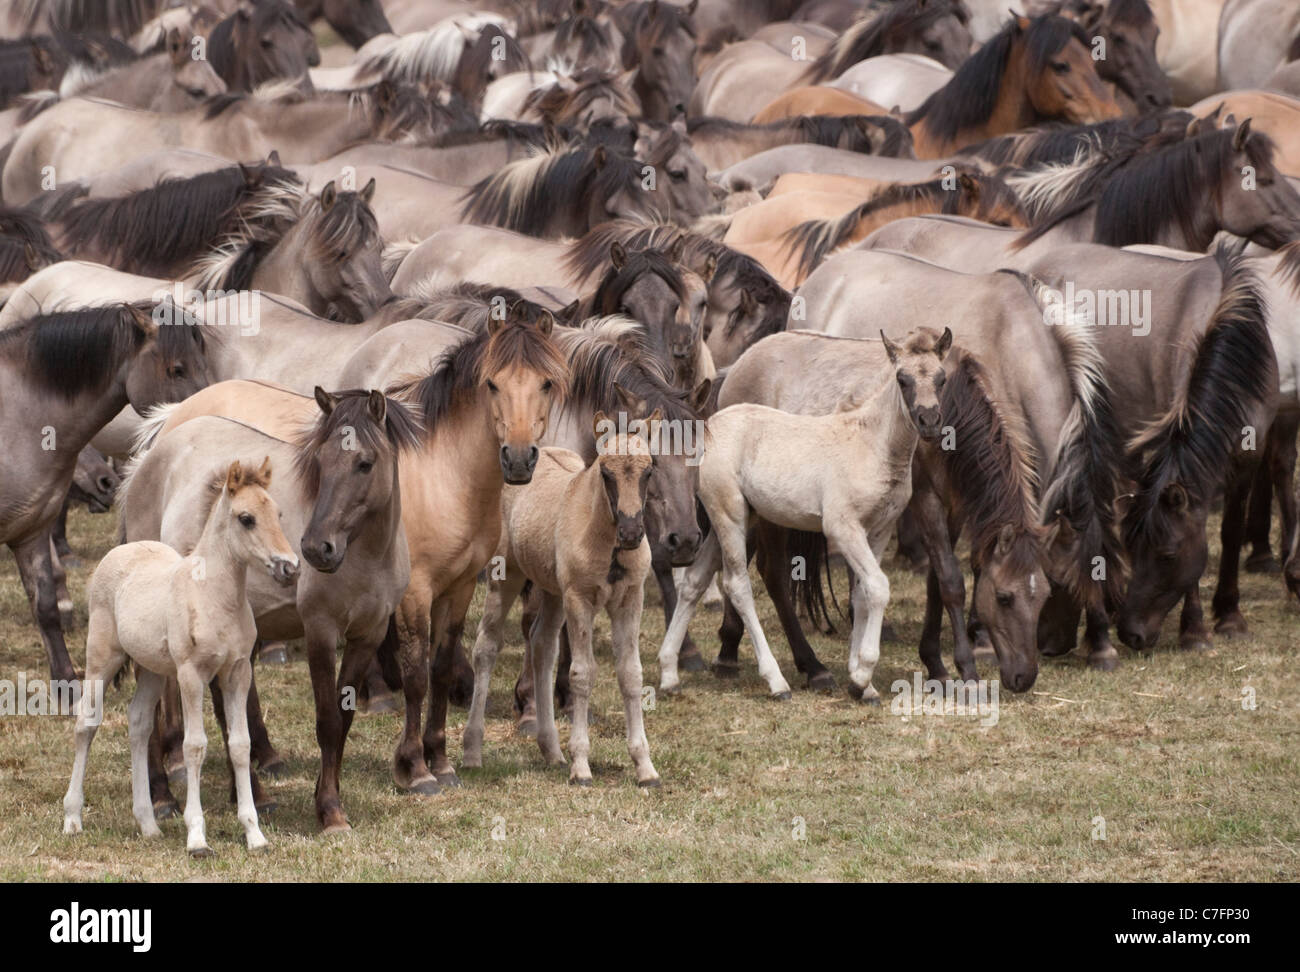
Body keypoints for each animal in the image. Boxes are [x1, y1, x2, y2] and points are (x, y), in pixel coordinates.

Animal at [63, 457, 299, 857]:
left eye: (278, 513)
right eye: (246, 518)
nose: (290, 567)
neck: (213, 596)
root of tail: (121, 550)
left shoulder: (237, 673)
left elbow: (240, 745)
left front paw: (254, 834)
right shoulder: (191, 674)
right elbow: (194, 746)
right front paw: (197, 838)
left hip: (152, 670)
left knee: (139, 723)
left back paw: (148, 823)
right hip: (102, 657)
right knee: (86, 724)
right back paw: (72, 818)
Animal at [463, 411, 662, 786]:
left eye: (649, 470)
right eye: (606, 473)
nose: (631, 533)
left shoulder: (630, 599)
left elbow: (631, 674)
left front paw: (645, 766)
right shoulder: (579, 599)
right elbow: (582, 674)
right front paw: (581, 765)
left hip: (553, 590)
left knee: (542, 645)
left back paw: (552, 749)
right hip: (506, 578)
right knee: (486, 647)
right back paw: (473, 750)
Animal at [660, 326, 950, 702]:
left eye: (942, 379)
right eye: (903, 379)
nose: (929, 421)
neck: (872, 444)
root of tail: (709, 426)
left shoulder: (879, 530)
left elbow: (862, 595)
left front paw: (862, 682)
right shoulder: (841, 527)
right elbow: (878, 587)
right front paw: (862, 675)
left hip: (738, 517)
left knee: (695, 581)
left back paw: (668, 673)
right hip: (730, 513)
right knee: (737, 584)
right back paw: (777, 681)